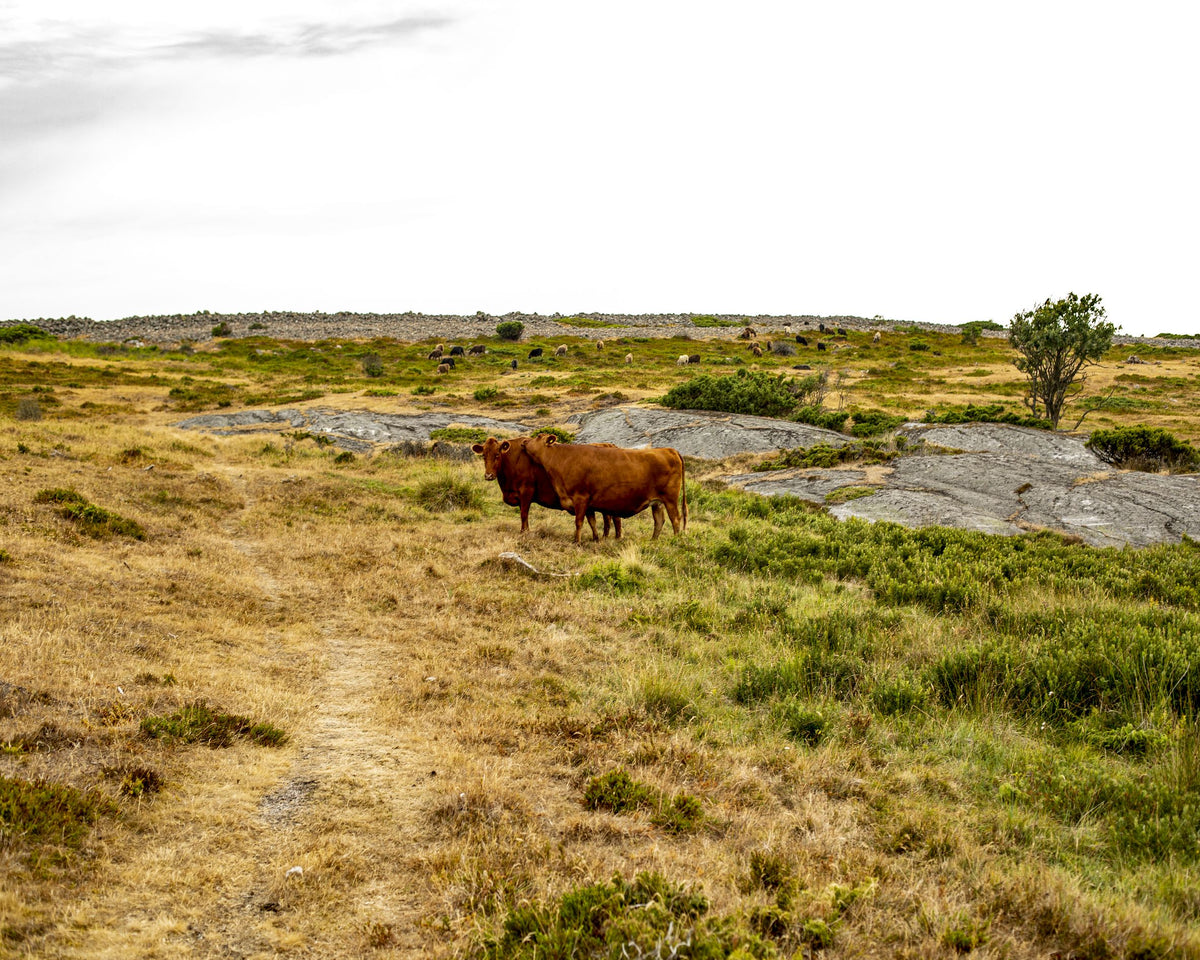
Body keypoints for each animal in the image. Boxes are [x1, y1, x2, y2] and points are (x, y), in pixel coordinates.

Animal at [472, 437, 621, 540]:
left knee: (613, 517)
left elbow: (524, 514)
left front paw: (524, 532)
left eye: (497, 455)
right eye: (483, 456)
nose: (489, 475)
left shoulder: (526, 492)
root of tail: (610, 445)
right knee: (610, 517)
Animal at [522, 434, 687, 545]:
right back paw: (653, 541)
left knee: (675, 519)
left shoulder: (580, 498)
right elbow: (592, 522)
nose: (524, 441)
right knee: (659, 520)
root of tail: (669, 450)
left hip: (670, 499)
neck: (563, 459)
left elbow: (579, 522)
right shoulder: (588, 503)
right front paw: (596, 538)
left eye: (538, 436)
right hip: (657, 502)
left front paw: (577, 541)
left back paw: (676, 540)